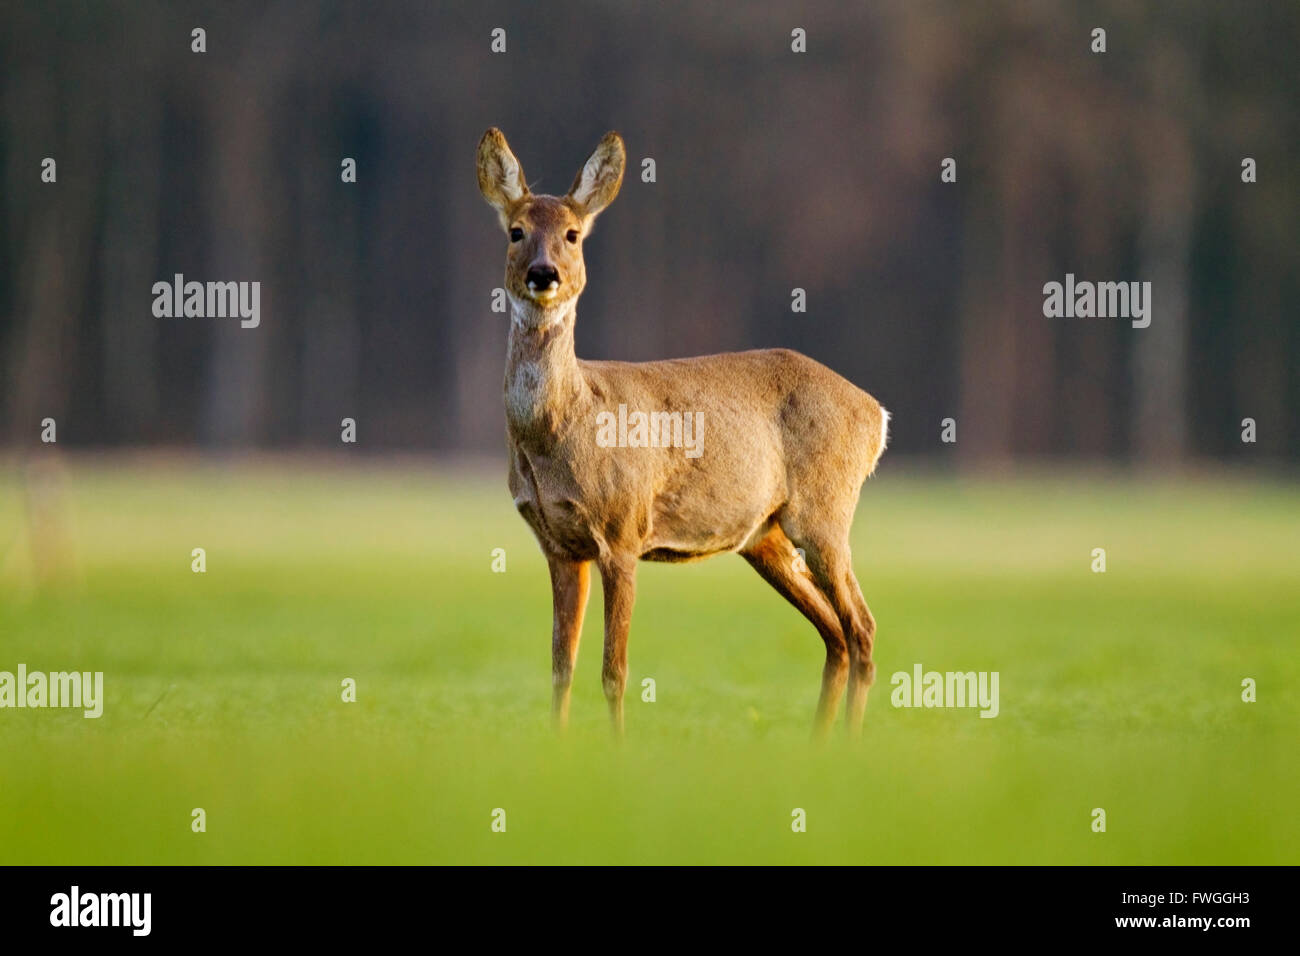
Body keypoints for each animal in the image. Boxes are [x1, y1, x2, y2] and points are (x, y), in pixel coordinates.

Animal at [476, 128, 889, 740]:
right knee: (835, 633)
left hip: (824, 511)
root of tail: (876, 415)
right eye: (516, 231)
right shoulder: (558, 544)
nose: (543, 274)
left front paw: (617, 750)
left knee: (861, 627)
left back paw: (850, 746)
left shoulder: (621, 529)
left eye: (573, 234)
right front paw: (559, 748)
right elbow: (560, 667)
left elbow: (614, 670)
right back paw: (817, 746)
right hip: (764, 537)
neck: (565, 427)